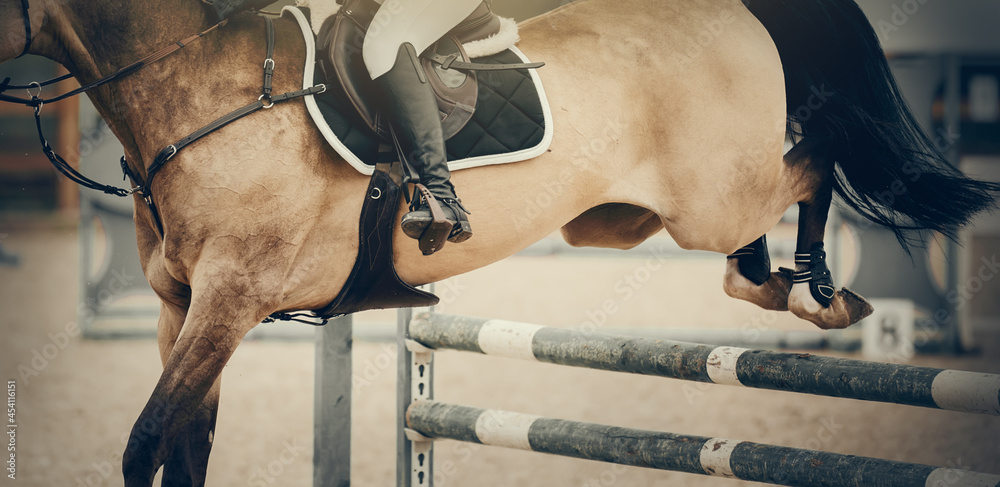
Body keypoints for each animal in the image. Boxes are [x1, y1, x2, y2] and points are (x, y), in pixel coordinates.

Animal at [2, 0, 996, 485]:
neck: (207, 88)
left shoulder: (231, 300)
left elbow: (145, 444)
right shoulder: (183, 309)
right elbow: (180, 448)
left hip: (712, 192)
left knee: (814, 161)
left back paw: (816, 287)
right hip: (627, 217)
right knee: (758, 226)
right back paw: (776, 282)